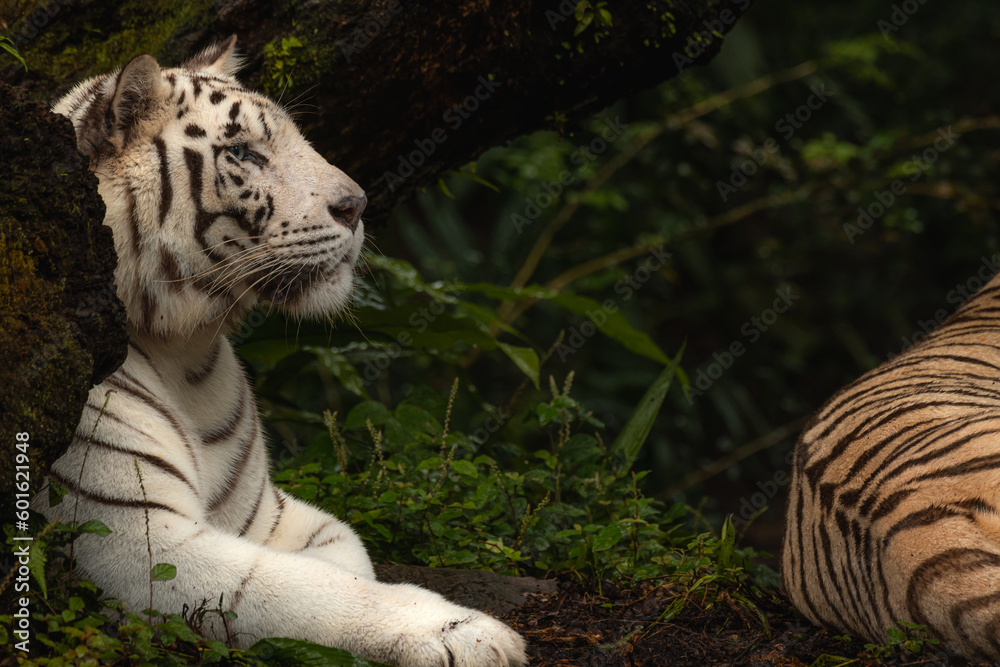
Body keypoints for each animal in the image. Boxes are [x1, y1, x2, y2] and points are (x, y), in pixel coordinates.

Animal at [42, 36, 527, 667]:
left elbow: (347, 556)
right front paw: (468, 634)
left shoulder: (270, 514)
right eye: (243, 152)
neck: (183, 353)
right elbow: (309, 590)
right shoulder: (136, 543)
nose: (358, 204)